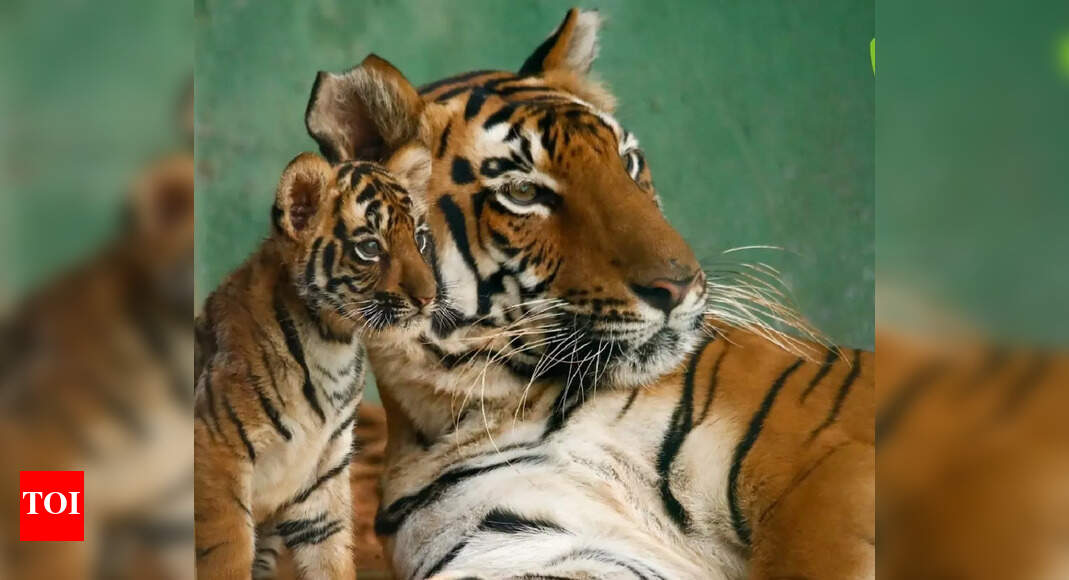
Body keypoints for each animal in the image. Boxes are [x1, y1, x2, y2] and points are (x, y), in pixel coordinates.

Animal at [193, 62, 439, 579]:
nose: (429, 297)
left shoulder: (321, 478)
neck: (333, 342)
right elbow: (225, 556)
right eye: (370, 247)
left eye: (420, 239)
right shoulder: (215, 460)